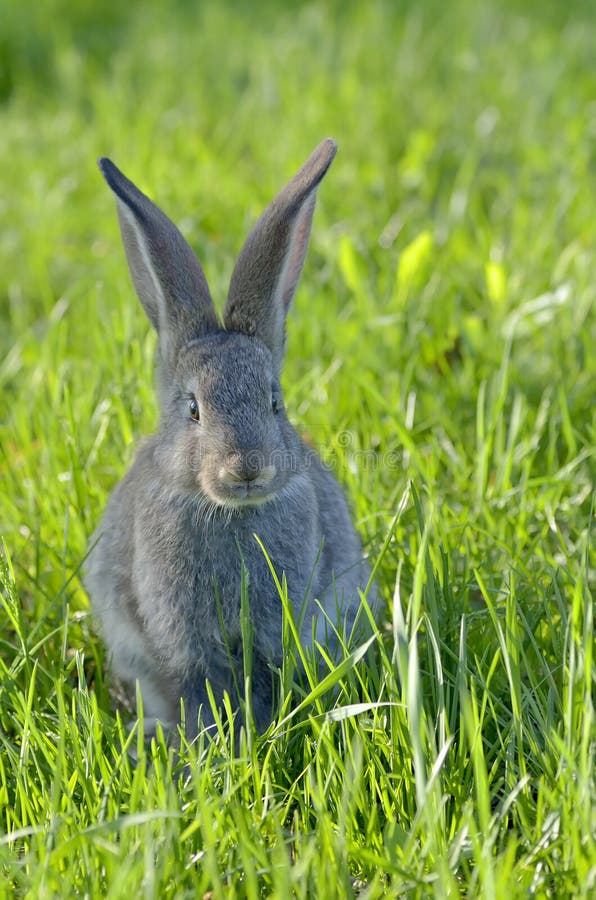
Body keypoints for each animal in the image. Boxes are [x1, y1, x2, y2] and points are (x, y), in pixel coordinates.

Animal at [86, 139, 376, 737]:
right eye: (193, 409)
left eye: (274, 402)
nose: (246, 468)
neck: (228, 512)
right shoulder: (182, 641)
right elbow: (199, 690)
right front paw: (211, 746)